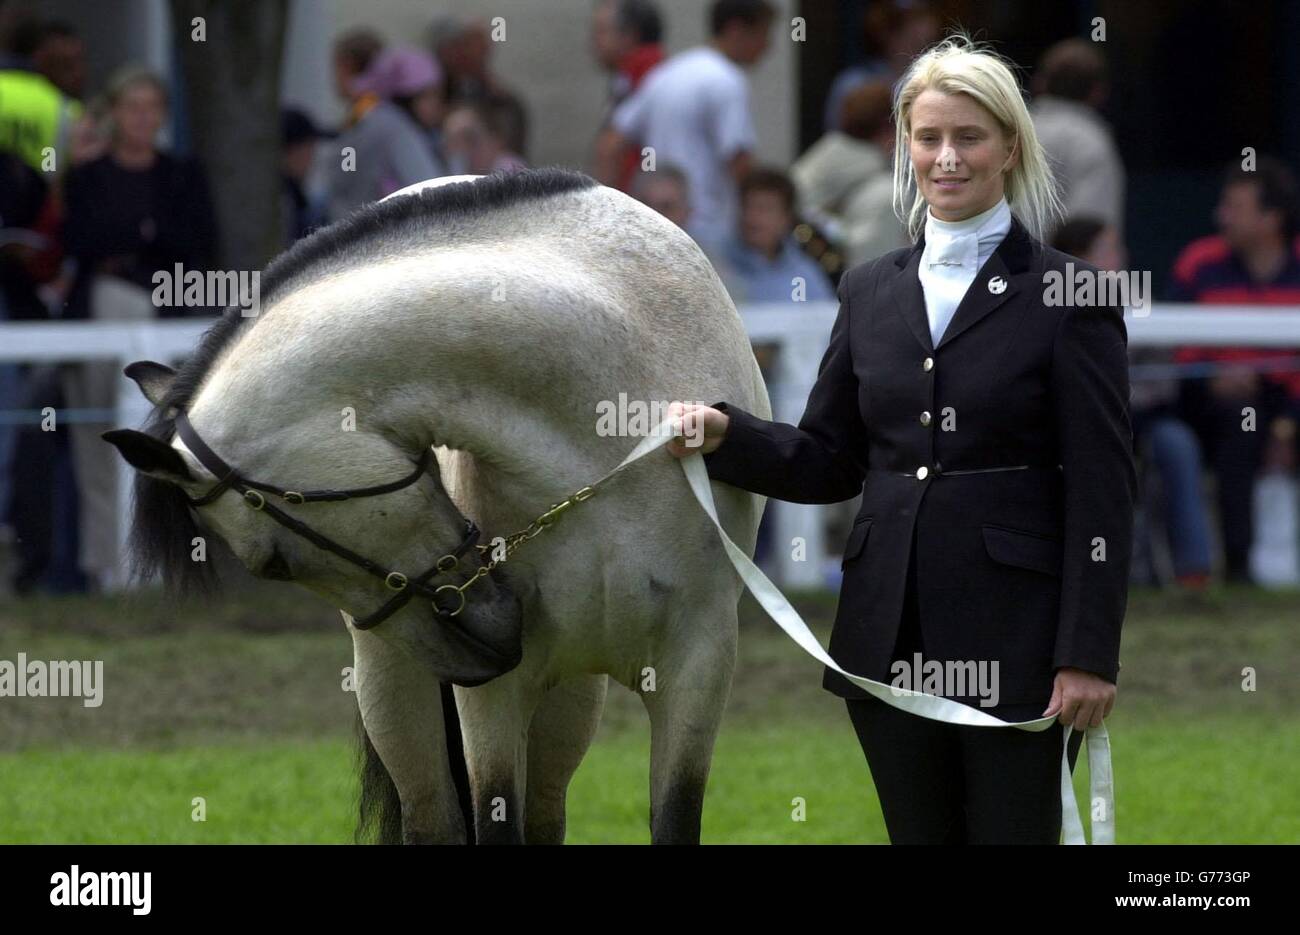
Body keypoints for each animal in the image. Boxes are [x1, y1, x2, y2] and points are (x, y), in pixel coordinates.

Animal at [104, 168, 769, 843]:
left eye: (273, 563)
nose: (483, 648)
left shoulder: (698, 666)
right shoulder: (499, 694)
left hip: (571, 695)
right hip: (395, 679)